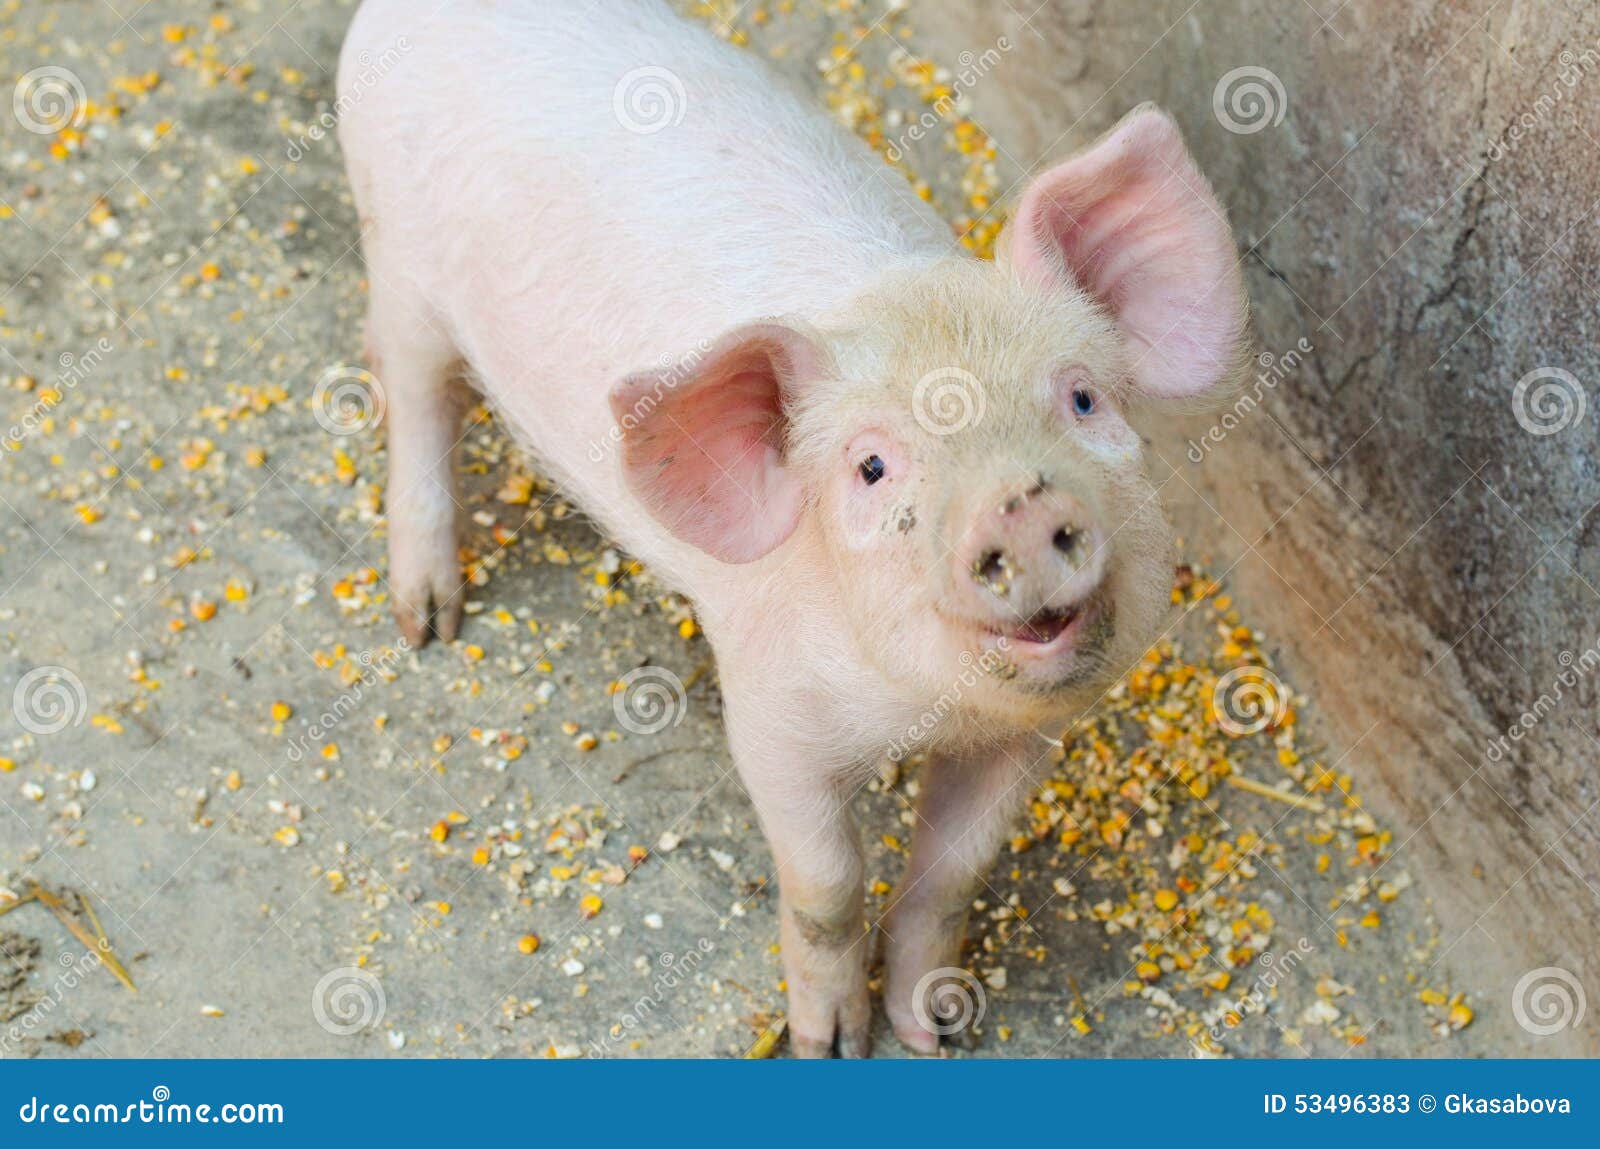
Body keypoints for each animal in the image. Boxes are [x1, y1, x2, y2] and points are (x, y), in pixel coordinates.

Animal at [337, 0, 1247, 1056]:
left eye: (1084, 398)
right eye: (871, 468)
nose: (1019, 503)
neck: (921, 707)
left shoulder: (1026, 732)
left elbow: (953, 871)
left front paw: (934, 1028)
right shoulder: (770, 712)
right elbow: (827, 885)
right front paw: (830, 1043)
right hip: (399, 257)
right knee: (416, 398)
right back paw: (427, 623)